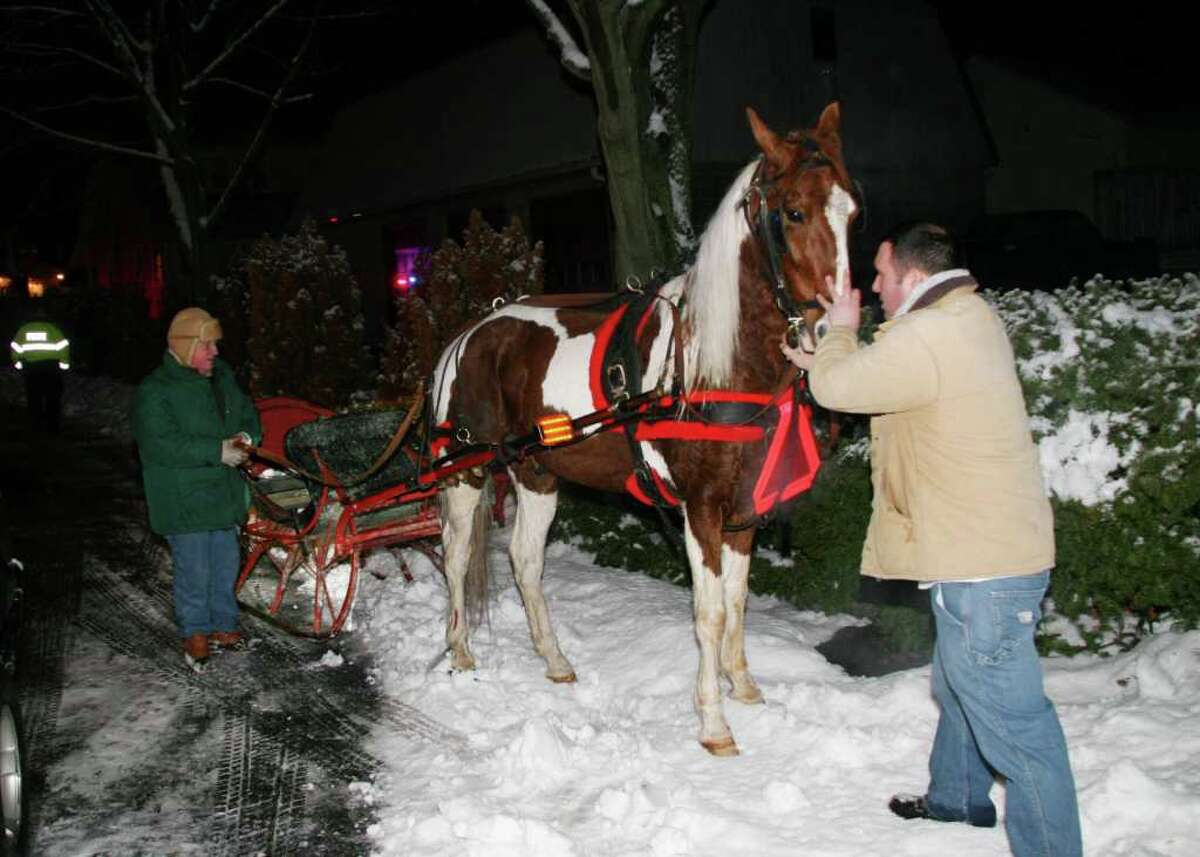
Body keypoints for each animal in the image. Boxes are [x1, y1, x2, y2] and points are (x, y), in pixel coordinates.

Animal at [430, 103, 857, 756]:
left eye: (851, 210)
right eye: (792, 212)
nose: (834, 330)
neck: (711, 361)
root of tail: (469, 334)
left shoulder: (743, 508)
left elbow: (737, 601)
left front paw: (744, 685)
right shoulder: (700, 507)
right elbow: (708, 612)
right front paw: (714, 723)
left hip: (537, 472)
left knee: (526, 561)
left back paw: (554, 660)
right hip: (466, 469)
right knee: (455, 556)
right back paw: (459, 650)